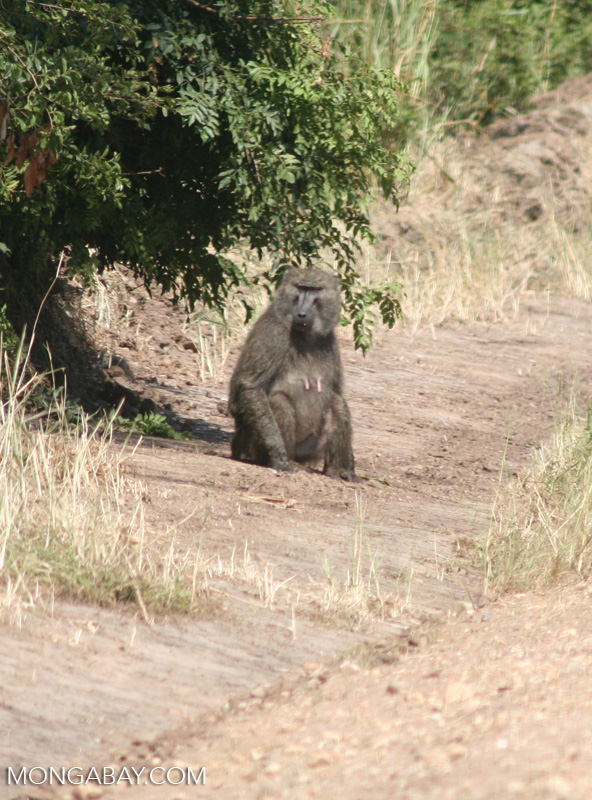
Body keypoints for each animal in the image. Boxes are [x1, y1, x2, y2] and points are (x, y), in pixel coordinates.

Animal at [229, 266, 360, 482]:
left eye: (314, 290)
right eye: (301, 288)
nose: (302, 313)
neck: (305, 335)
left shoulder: (331, 342)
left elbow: (337, 392)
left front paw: (349, 463)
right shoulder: (273, 335)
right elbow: (251, 387)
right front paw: (279, 456)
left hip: (308, 448)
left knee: (337, 403)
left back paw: (338, 470)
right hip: (251, 443)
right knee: (279, 401)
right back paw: (288, 460)